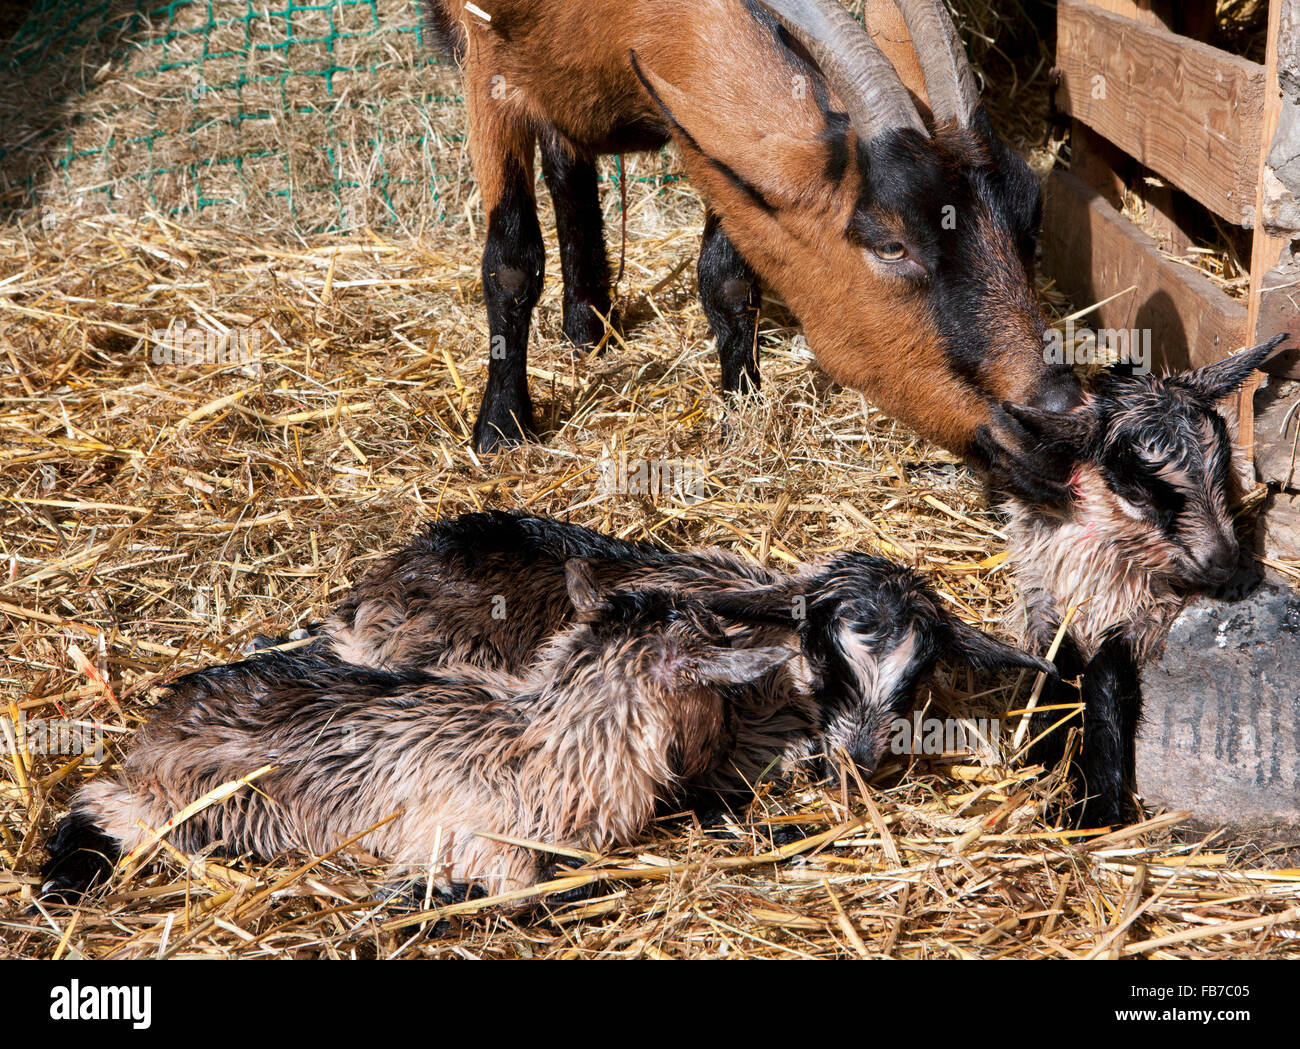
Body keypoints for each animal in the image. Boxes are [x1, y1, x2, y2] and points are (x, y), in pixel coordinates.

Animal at [41, 564, 796, 902]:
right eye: (720, 699)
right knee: (99, 805)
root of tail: (159, 722)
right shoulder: (483, 841)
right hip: (179, 799)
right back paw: (64, 880)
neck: (547, 744)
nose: (719, 755)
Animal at [427, 0, 1082, 504]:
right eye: (891, 245)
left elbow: (727, 277)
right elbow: (511, 261)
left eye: (1030, 211)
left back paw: (588, 321)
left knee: (568, 156)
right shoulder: (484, 54)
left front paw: (740, 408)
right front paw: (501, 430)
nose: (1058, 416)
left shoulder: (718, 153)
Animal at [1001, 334, 1291, 827]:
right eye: (1136, 493)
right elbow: (1051, 672)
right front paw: (1046, 768)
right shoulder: (1043, 594)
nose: (1224, 561)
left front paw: (1097, 807)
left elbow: (1106, 680)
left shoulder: (1141, 615)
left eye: (1222, 469)